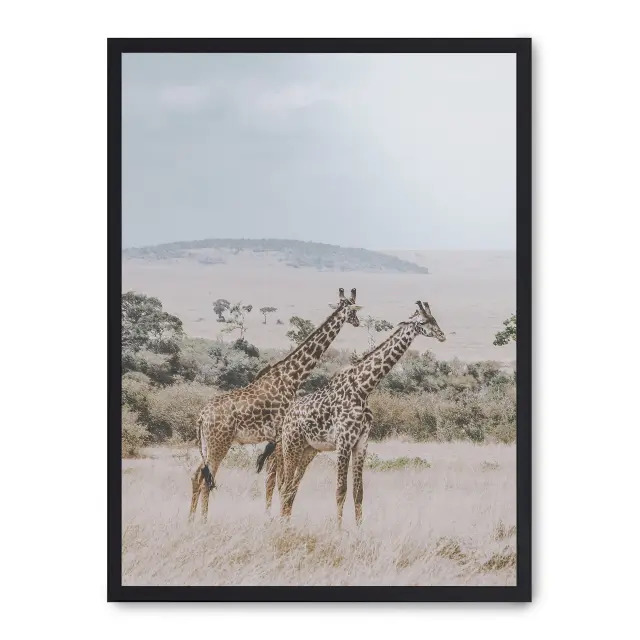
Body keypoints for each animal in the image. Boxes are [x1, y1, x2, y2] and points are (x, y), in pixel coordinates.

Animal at [189, 288, 362, 522]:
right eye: (352, 310)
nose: (358, 322)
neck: (292, 376)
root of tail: (201, 417)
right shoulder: (281, 435)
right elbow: (279, 481)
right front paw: (278, 518)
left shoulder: (277, 438)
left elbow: (273, 479)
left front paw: (271, 516)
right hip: (219, 444)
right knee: (208, 480)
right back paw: (204, 522)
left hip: (207, 445)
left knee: (196, 475)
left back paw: (190, 520)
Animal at [269, 300, 445, 525]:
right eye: (422, 322)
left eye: (434, 319)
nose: (441, 335)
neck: (363, 388)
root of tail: (285, 418)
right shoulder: (343, 441)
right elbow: (340, 490)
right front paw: (338, 528)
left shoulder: (361, 442)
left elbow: (358, 492)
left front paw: (359, 528)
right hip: (291, 445)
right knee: (284, 485)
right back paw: (283, 525)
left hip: (308, 449)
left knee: (291, 487)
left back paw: (287, 523)